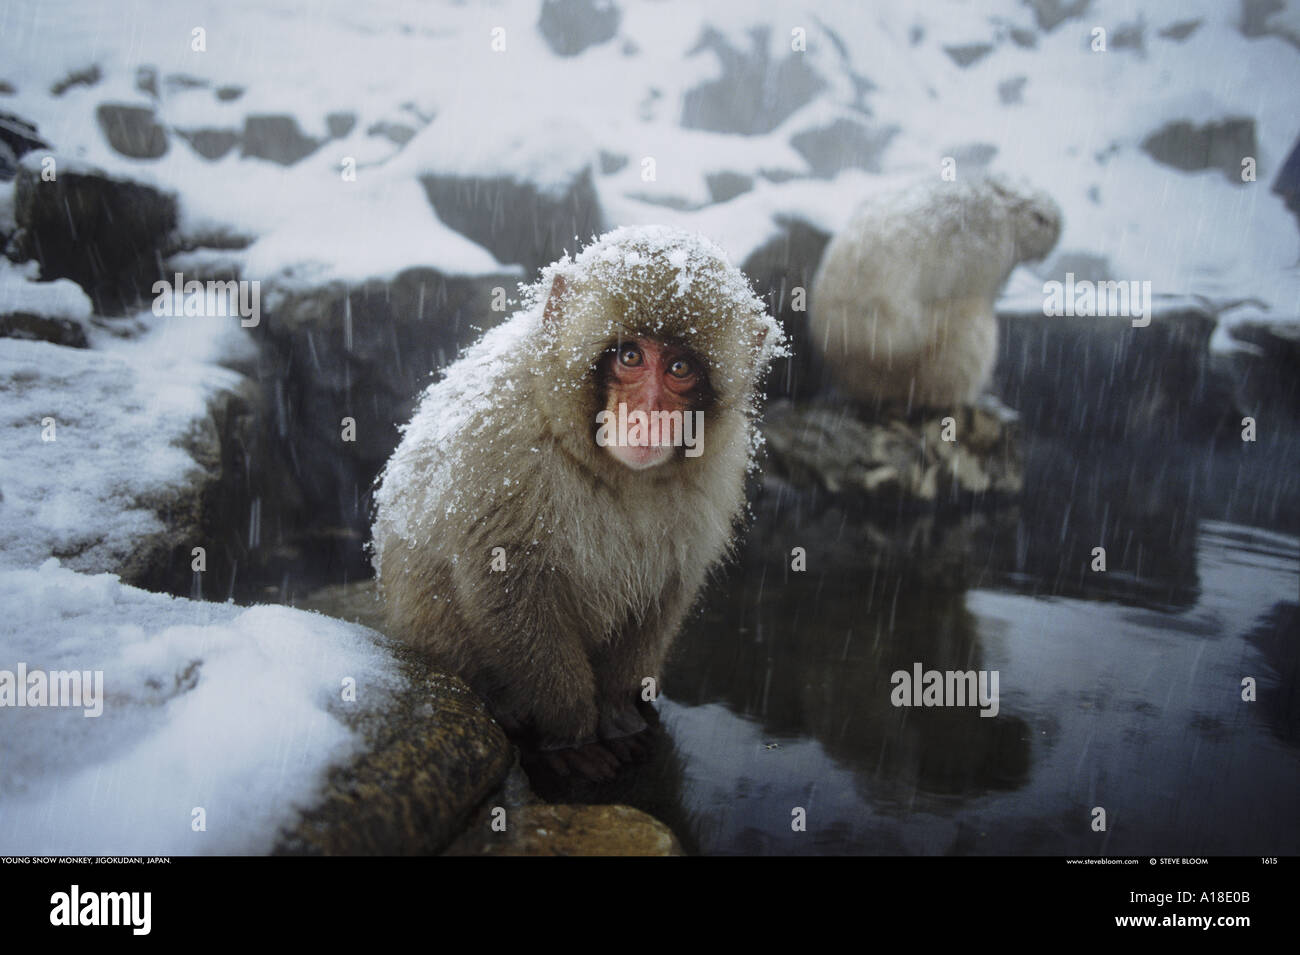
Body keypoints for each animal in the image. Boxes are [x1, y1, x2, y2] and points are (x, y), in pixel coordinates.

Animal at [371, 225, 784, 778]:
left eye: (679, 367)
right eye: (630, 357)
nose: (648, 415)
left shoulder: (718, 469)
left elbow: (665, 586)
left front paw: (618, 714)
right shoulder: (502, 438)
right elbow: (508, 589)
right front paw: (572, 733)